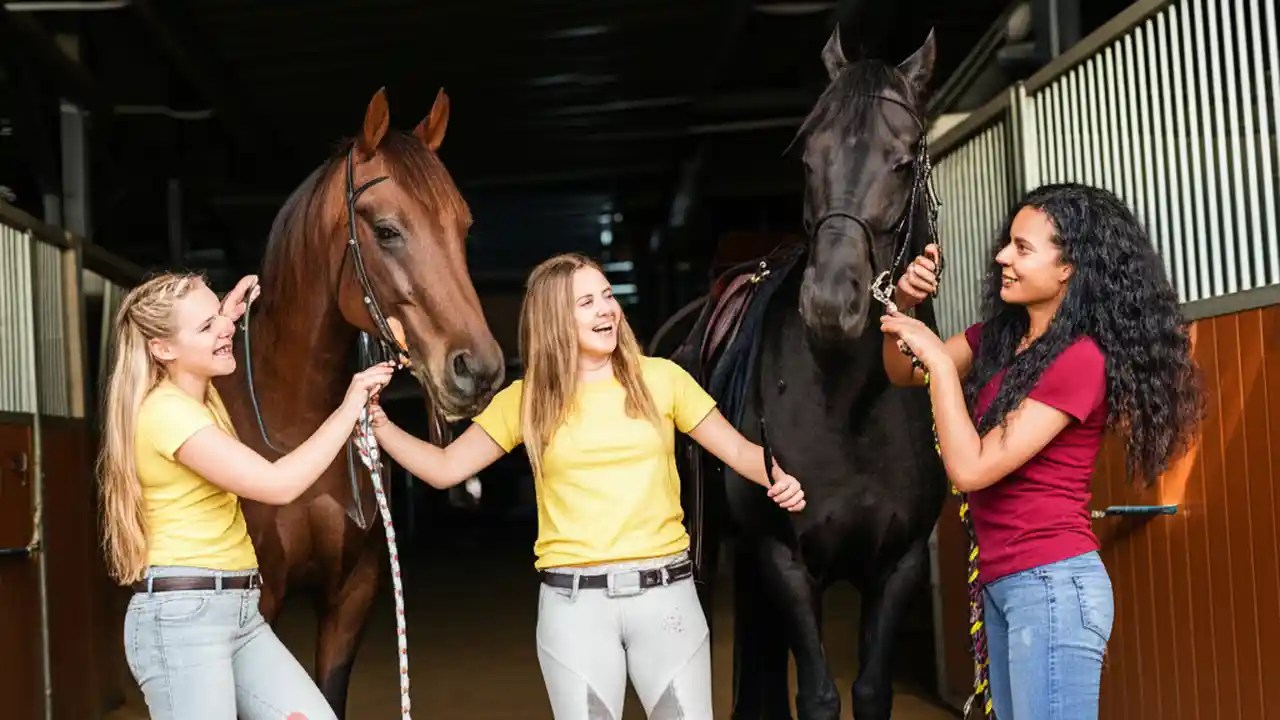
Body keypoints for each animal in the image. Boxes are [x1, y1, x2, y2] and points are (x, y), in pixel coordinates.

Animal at [213, 86, 505, 717]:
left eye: (463, 227)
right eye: (388, 230)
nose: (480, 370)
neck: (296, 428)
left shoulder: (351, 596)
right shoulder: (259, 603)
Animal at [671, 28, 947, 720]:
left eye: (903, 161)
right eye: (807, 159)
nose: (829, 305)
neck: (852, 411)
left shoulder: (898, 565)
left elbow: (870, 692)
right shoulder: (787, 562)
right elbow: (819, 697)